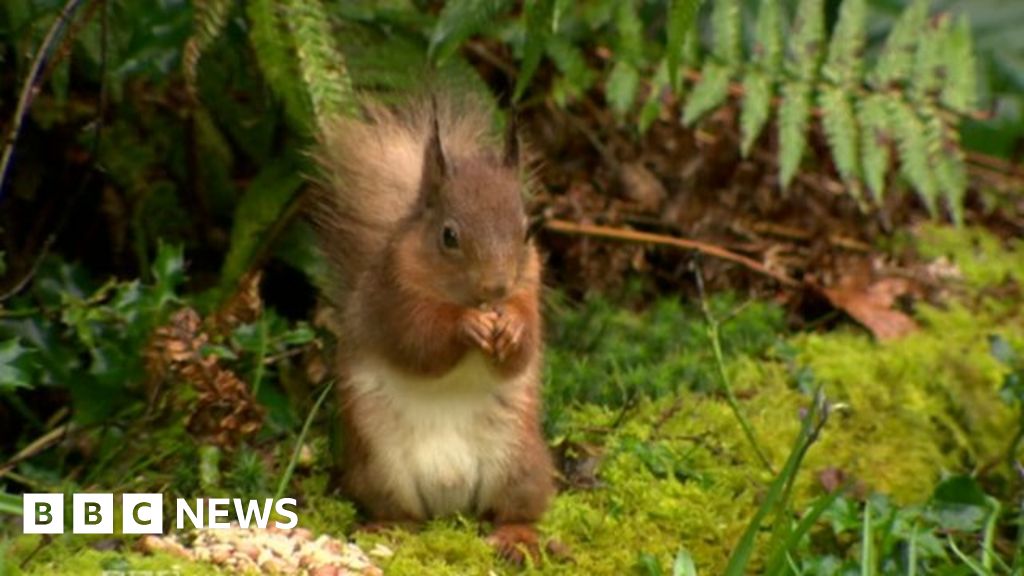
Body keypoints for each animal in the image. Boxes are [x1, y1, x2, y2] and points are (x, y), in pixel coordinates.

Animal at [309, 95, 555, 563]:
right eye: (448, 236)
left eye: (526, 231)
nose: (497, 286)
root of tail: (450, 502)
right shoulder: (392, 300)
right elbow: (419, 343)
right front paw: (466, 327)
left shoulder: (529, 289)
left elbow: (524, 348)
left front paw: (512, 328)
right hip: (380, 468)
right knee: (403, 514)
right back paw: (389, 530)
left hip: (520, 466)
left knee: (512, 511)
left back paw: (516, 538)